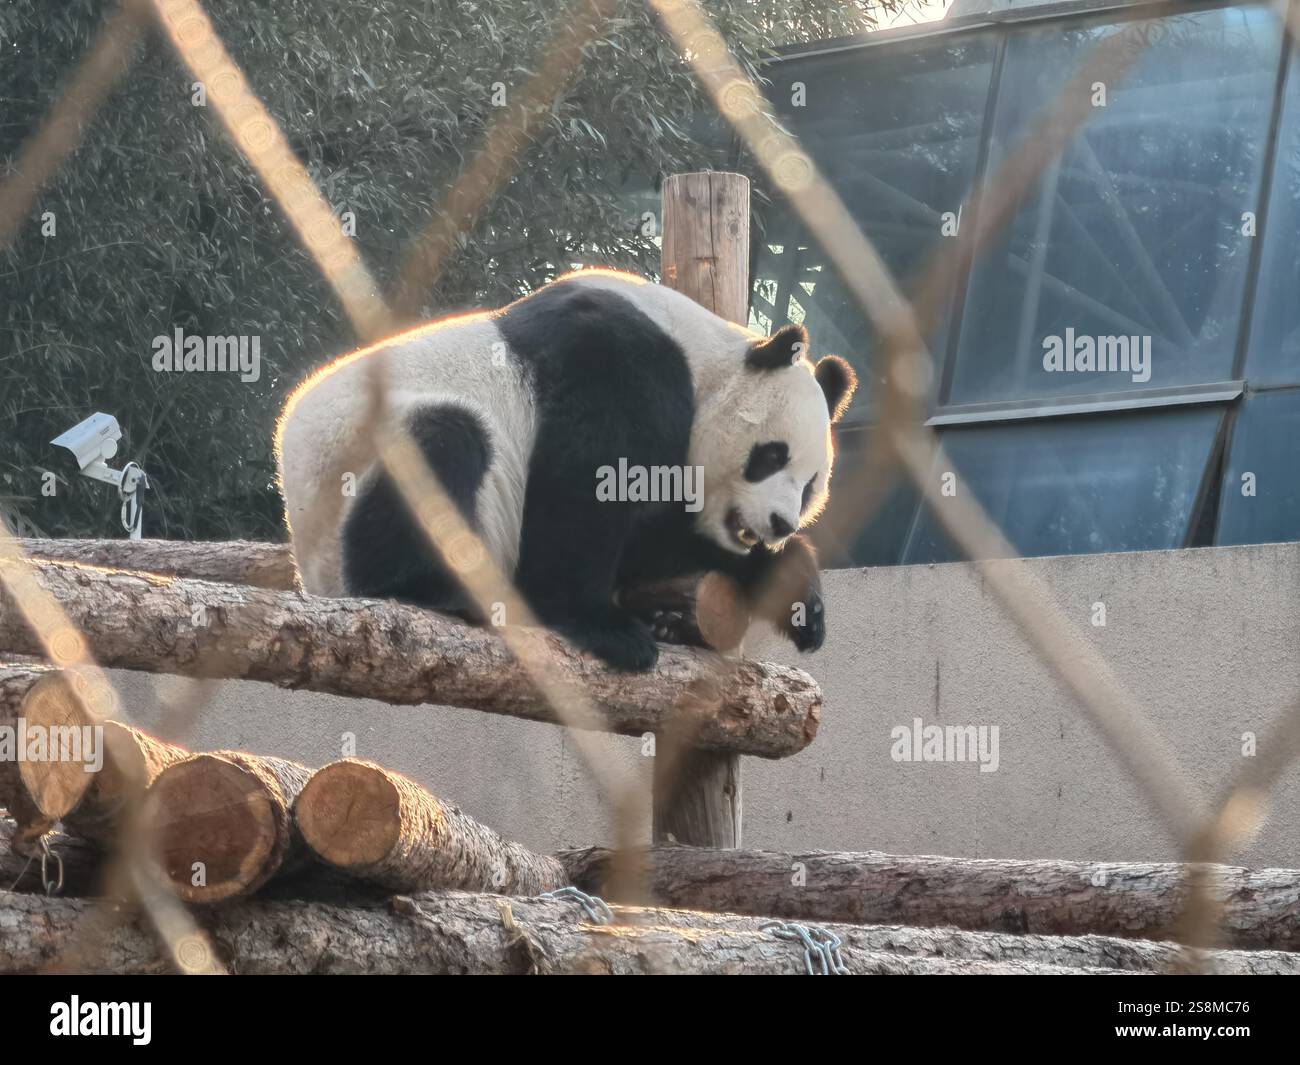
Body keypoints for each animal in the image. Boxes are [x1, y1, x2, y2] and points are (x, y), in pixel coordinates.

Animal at [275, 269, 856, 671]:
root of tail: (313, 572)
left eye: (809, 487)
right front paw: (606, 630)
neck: (704, 361)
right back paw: (440, 594)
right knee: (443, 446)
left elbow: (650, 540)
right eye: (771, 456)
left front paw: (800, 597)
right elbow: (583, 497)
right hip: (355, 456)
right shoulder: (619, 367)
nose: (781, 523)